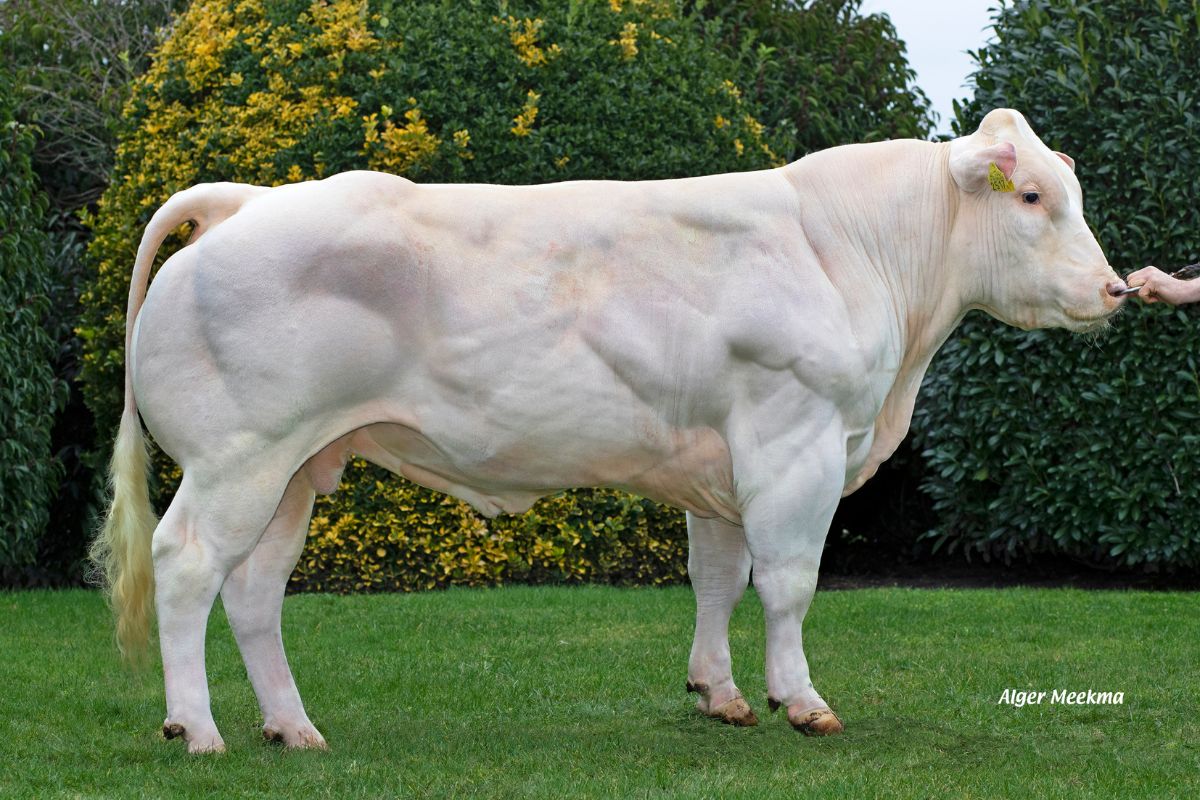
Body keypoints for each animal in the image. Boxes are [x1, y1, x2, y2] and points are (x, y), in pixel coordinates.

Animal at [92, 108, 1127, 753]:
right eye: (1031, 198)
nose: (1115, 289)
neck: (855, 254)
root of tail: (248, 198)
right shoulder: (793, 441)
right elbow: (789, 583)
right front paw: (801, 702)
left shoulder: (721, 466)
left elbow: (719, 579)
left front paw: (719, 693)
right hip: (237, 459)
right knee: (187, 567)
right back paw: (198, 729)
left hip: (298, 467)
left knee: (254, 591)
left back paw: (292, 727)